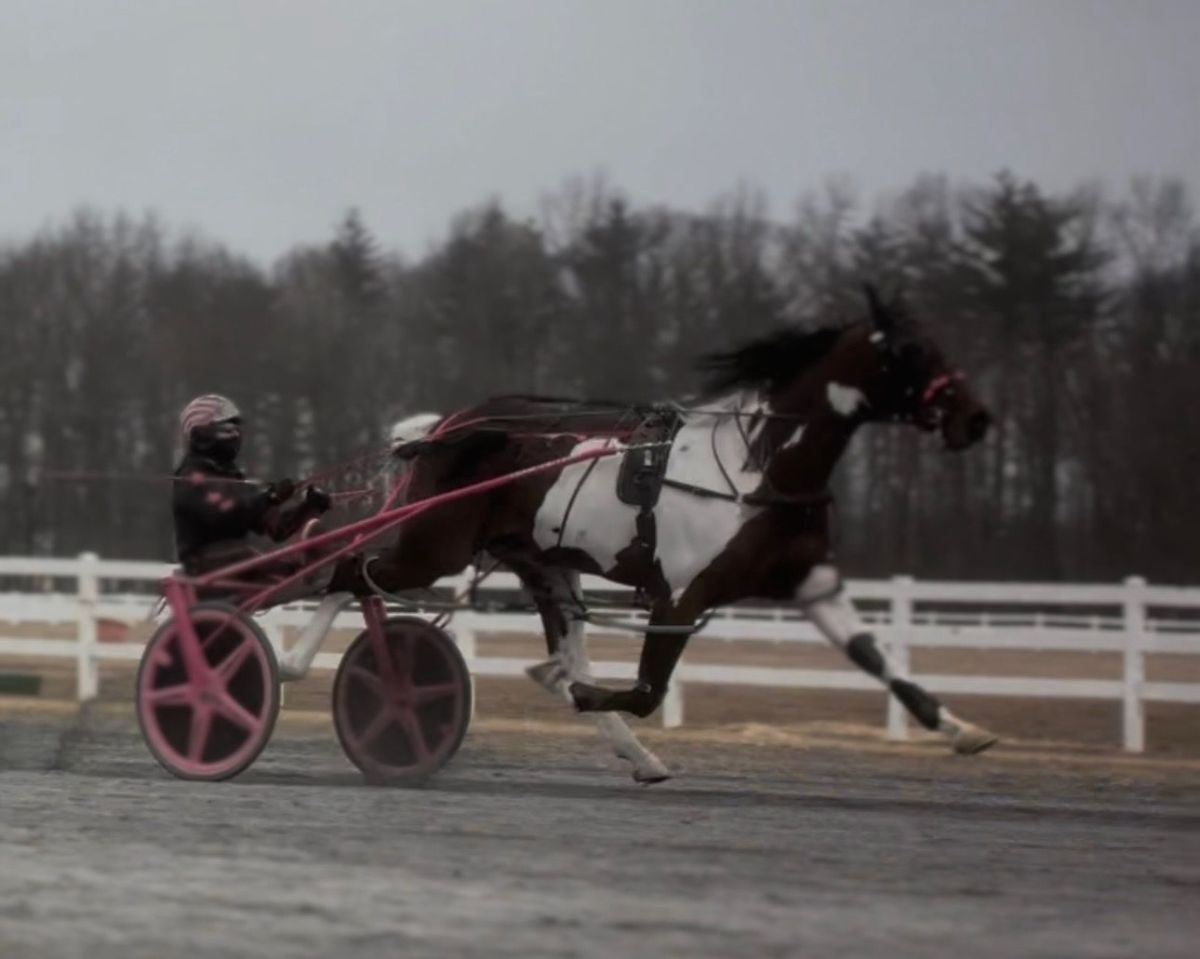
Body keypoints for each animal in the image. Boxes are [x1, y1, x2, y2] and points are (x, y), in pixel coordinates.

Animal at [333, 286, 997, 783]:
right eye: (911, 351)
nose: (977, 418)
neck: (758, 468)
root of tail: (446, 426)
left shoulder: (812, 583)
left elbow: (877, 659)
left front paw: (964, 730)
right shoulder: (680, 596)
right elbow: (647, 689)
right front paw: (577, 692)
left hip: (547, 568)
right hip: (431, 547)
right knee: (346, 573)